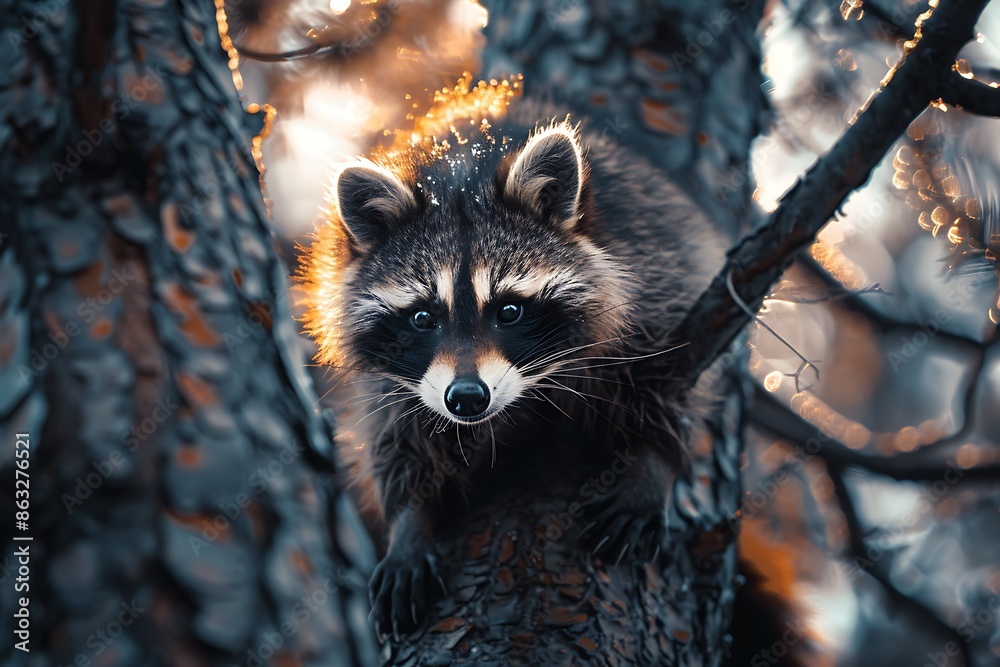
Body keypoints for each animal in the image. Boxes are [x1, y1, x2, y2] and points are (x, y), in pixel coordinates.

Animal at [299, 97, 725, 638]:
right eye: (422, 317)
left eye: (509, 311)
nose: (466, 398)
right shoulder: (396, 380)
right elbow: (398, 438)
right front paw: (409, 523)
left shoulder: (652, 276)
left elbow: (669, 374)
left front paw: (650, 461)